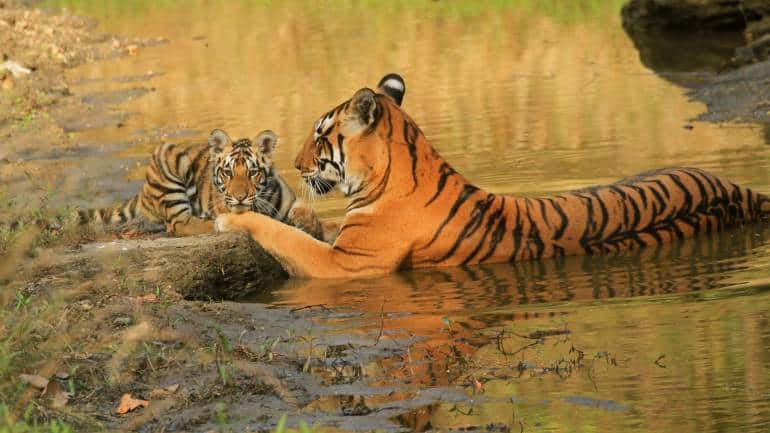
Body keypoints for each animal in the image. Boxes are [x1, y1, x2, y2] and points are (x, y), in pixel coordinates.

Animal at [79, 129, 335, 240]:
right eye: (228, 172)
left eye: (252, 172)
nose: (240, 197)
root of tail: (143, 189)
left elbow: (306, 210)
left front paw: (308, 223)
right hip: (168, 164)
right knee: (179, 224)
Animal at [214, 74, 770, 279]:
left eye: (320, 135)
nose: (296, 163)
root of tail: (743, 191)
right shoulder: (348, 239)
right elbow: (313, 226)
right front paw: (304, 215)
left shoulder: (348, 265)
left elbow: (282, 235)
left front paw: (230, 218)